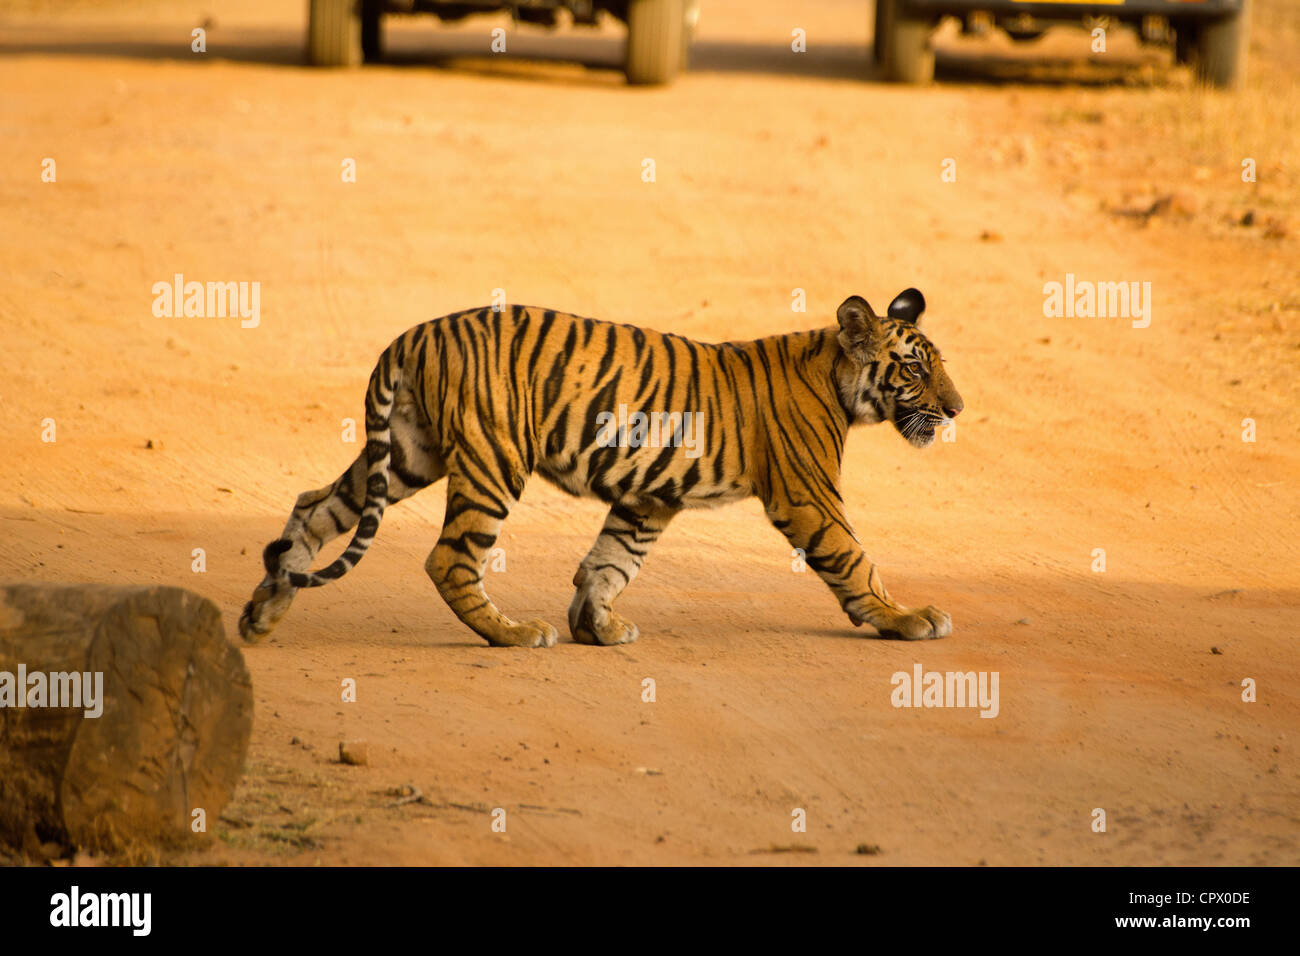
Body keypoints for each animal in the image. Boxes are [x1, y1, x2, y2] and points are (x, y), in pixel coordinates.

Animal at [238, 289, 963, 648]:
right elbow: (856, 558)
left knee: (311, 507)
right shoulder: (808, 494)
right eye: (916, 368)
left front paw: (598, 627)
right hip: (492, 460)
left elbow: (610, 562)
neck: (836, 378)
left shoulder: (650, 496)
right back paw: (512, 634)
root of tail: (413, 334)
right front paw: (906, 619)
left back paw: (264, 613)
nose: (957, 408)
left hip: (409, 453)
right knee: (449, 558)